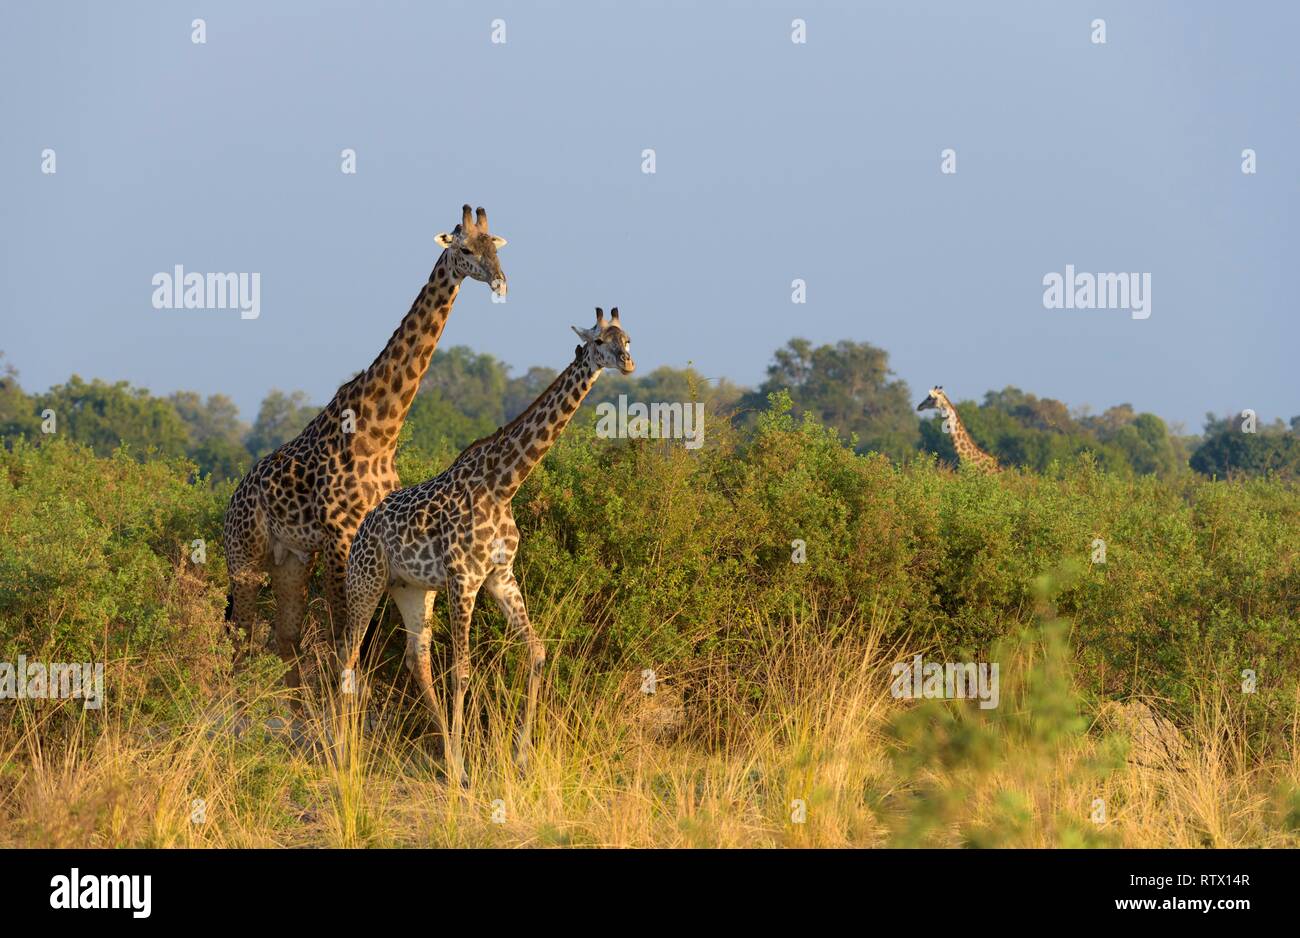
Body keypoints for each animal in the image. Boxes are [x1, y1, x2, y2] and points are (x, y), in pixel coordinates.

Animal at [222, 204, 508, 696]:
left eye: (495, 247)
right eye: (466, 250)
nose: (500, 281)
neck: (380, 431)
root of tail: (232, 500)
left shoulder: (363, 539)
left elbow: (367, 641)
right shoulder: (340, 536)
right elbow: (346, 636)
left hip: (290, 559)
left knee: (285, 637)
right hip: (243, 554)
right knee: (241, 633)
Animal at [339, 307, 635, 785]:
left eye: (626, 338)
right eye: (598, 342)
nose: (627, 362)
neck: (504, 485)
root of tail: (363, 527)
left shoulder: (500, 576)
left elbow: (536, 651)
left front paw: (518, 759)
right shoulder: (465, 580)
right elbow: (462, 671)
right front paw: (464, 774)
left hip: (412, 589)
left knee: (416, 658)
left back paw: (441, 754)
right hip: (365, 582)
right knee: (347, 657)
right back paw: (342, 752)